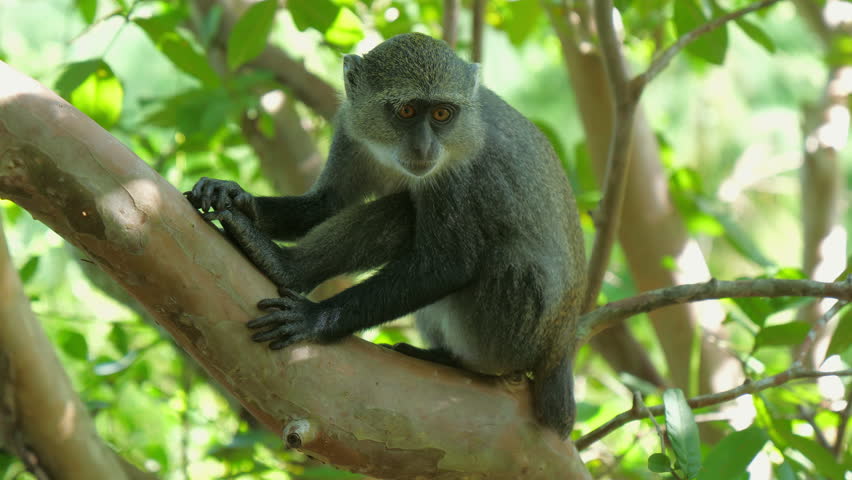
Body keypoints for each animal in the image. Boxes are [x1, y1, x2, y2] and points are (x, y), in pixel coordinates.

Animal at [186, 33, 586, 438]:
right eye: (406, 111)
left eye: (442, 114)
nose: (424, 147)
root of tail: (560, 349)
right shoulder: (350, 131)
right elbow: (325, 205)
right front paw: (235, 196)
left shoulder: (456, 168)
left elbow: (450, 264)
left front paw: (315, 319)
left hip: (512, 326)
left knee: (427, 221)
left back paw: (286, 268)